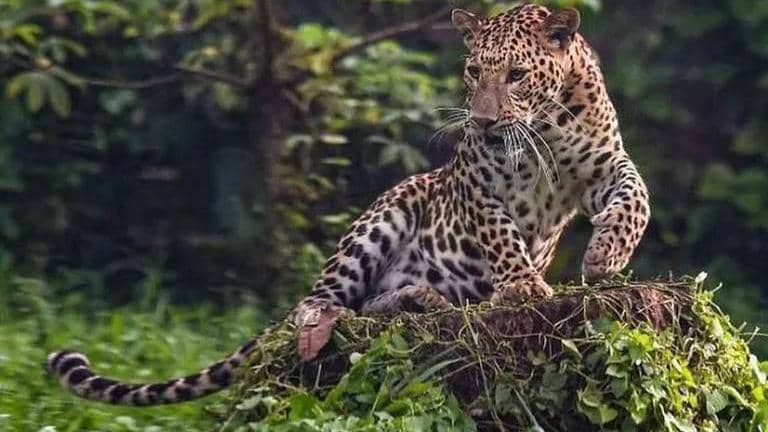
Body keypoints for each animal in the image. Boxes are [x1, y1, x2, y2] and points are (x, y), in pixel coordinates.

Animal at [46, 3, 650, 405]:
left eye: (517, 75)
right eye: (475, 71)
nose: (481, 122)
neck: (545, 125)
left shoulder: (605, 163)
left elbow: (635, 197)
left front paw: (604, 258)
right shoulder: (480, 185)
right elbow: (500, 234)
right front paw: (524, 286)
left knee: (371, 307)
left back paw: (421, 301)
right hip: (390, 210)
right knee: (318, 302)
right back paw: (334, 322)